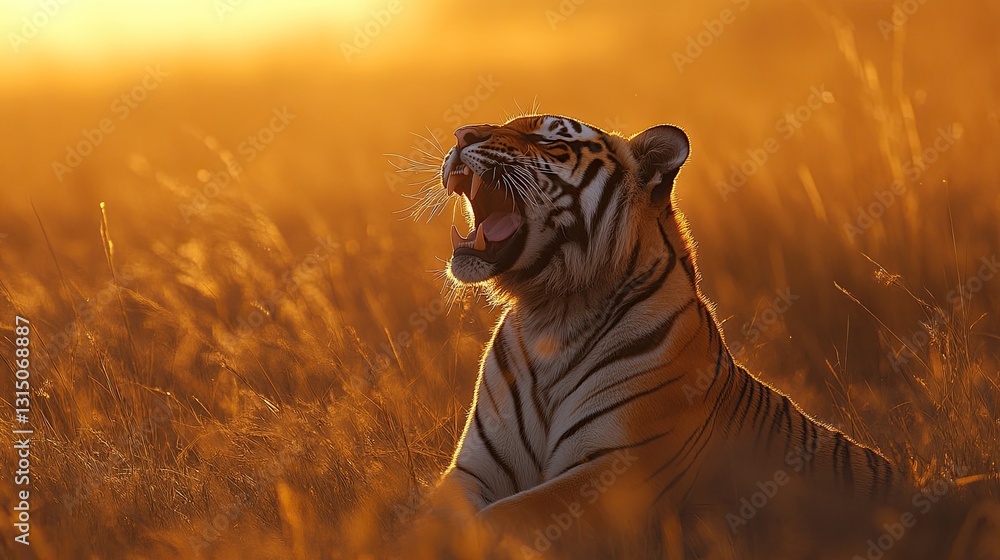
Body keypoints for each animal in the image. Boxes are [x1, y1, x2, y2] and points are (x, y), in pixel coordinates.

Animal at [415, 114, 897, 558]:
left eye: (548, 140)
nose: (461, 134)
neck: (550, 316)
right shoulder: (473, 467)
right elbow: (431, 518)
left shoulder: (615, 475)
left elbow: (502, 518)